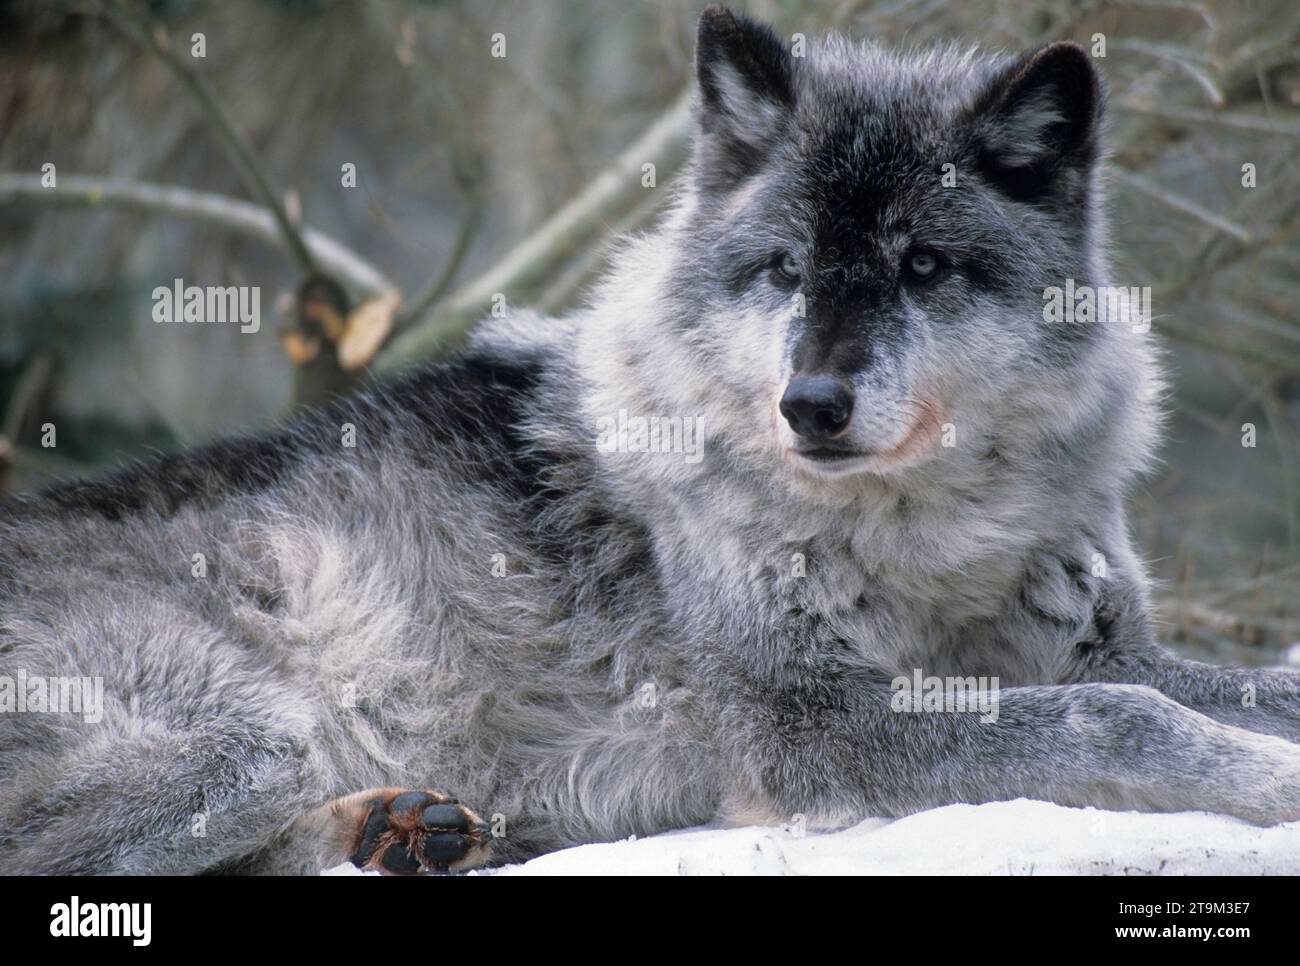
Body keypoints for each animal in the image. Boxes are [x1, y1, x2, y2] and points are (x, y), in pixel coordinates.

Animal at [2, 6, 1298, 875]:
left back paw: (396, 830)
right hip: (246, 742)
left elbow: (1235, 686)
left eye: (922, 266)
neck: (932, 535)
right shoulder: (804, 731)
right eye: (784, 267)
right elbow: (1114, 716)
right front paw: (1269, 782)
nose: (810, 405)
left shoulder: (1107, 643)